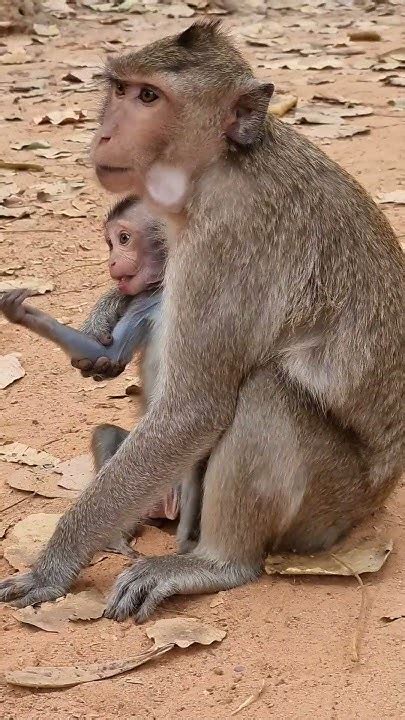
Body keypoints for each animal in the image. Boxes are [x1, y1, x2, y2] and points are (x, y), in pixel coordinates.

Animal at [0, 21, 403, 623]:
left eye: (150, 97)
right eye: (120, 90)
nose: (104, 135)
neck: (221, 164)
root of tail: (378, 496)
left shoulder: (229, 239)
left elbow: (194, 411)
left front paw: (54, 565)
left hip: (331, 507)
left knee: (266, 394)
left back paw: (217, 563)